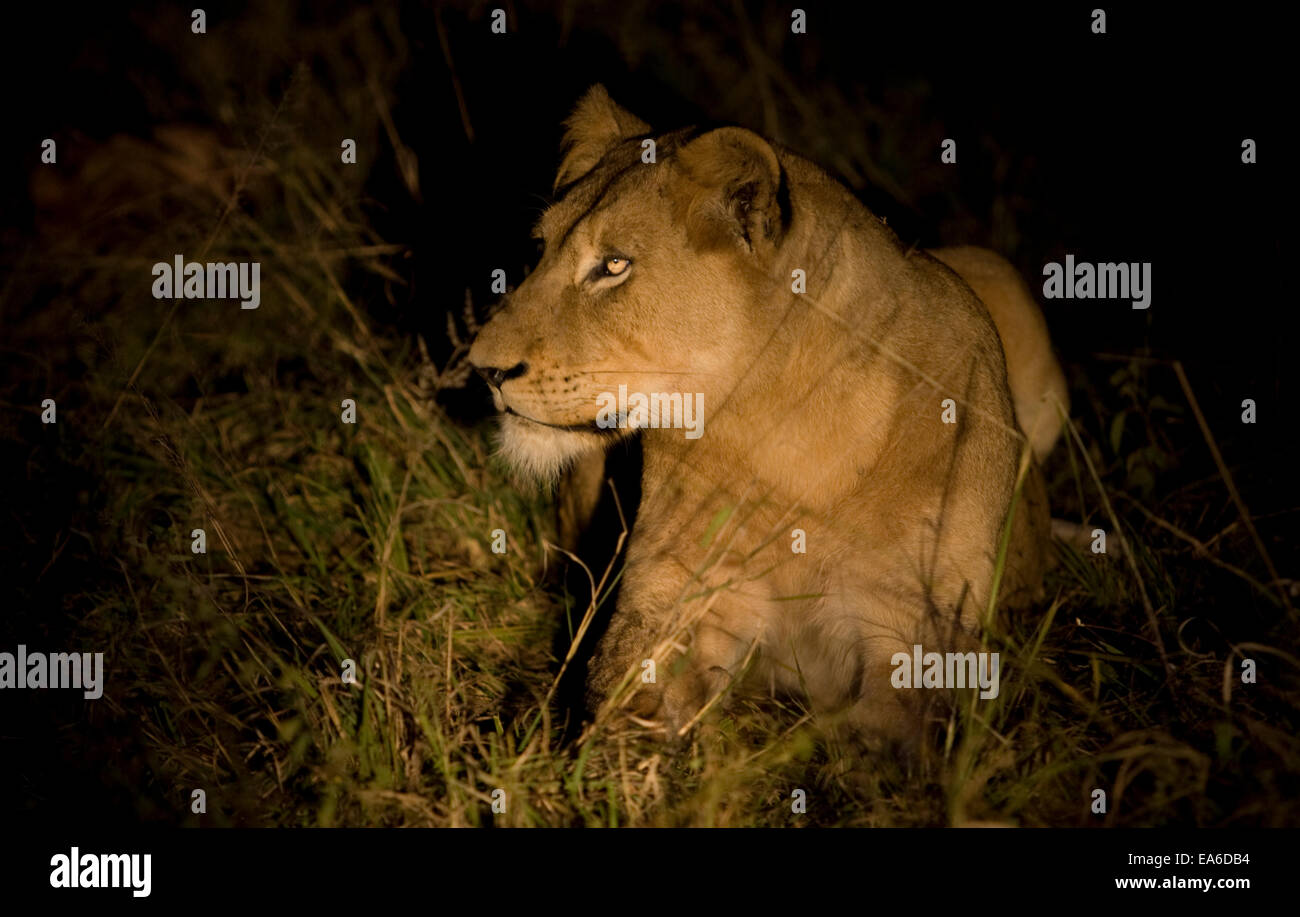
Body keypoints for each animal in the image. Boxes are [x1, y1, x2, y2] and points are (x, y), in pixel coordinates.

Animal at [468, 85, 1068, 749]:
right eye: (540, 249)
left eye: (615, 266)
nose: (483, 369)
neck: (784, 445)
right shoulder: (674, 597)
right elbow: (619, 711)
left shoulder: (916, 643)